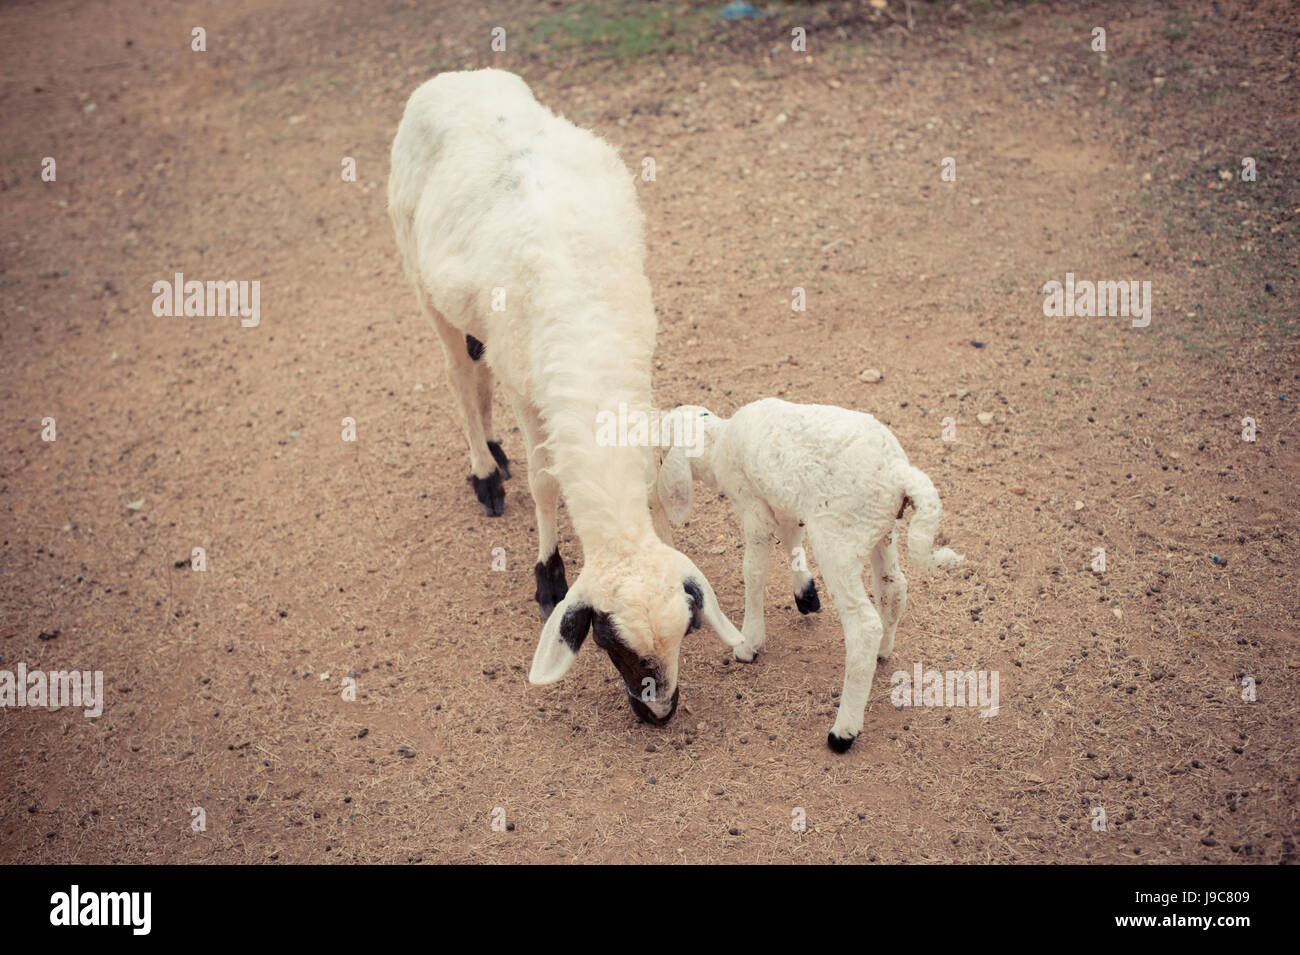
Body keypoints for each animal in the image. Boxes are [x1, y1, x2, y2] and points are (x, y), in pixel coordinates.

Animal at [387, 69, 748, 725]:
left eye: (687, 630)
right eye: (606, 641)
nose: (660, 714)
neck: (590, 349)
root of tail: (453, 77)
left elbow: (650, 479)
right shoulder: (530, 397)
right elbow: (545, 483)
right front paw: (546, 576)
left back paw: (494, 453)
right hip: (421, 280)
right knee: (459, 376)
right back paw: (486, 473)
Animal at [656, 398, 963, 751]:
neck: (717, 439)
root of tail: (899, 471)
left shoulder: (753, 506)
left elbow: (754, 571)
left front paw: (749, 643)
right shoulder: (784, 501)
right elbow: (791, 536)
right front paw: (805, 594)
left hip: (839, 540)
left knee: (863, 626)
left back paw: (844, 730)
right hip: (881, 530)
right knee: (894, 589)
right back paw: (883, 649)